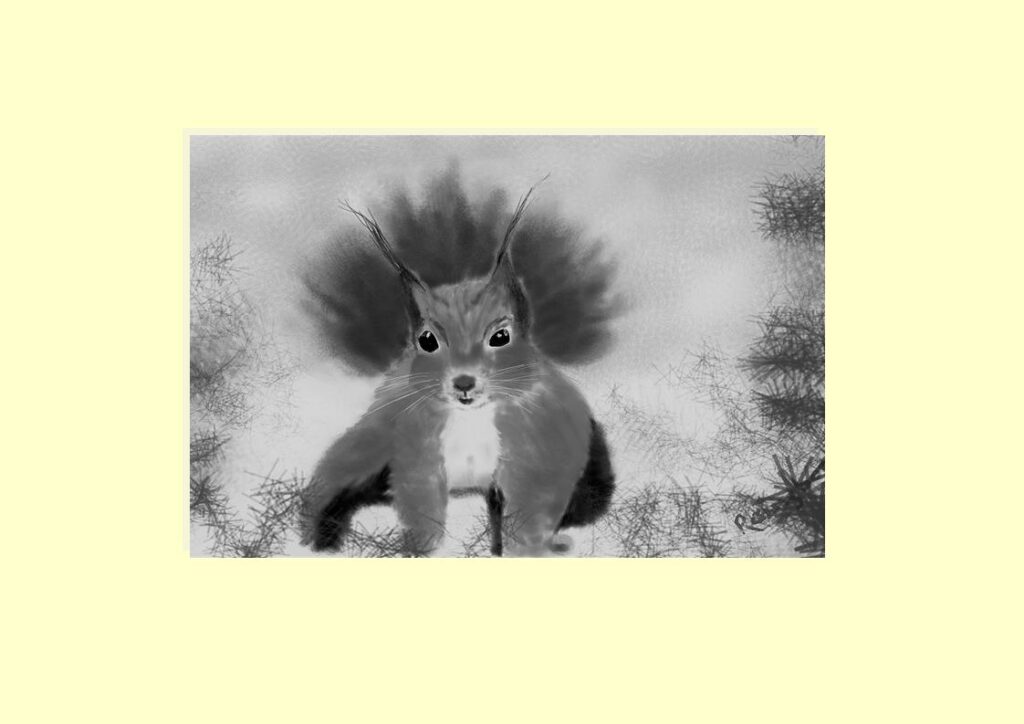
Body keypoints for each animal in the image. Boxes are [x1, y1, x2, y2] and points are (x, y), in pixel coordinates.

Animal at [298, 184, 615, 556]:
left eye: (501, 337)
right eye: (426, 341)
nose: (464, 382)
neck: (471, 418)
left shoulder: (537, 458)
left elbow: (526, 519)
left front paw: (524, 549)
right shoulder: (418, 455)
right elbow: (424, 516)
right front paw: (418, 550)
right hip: (373, 436)